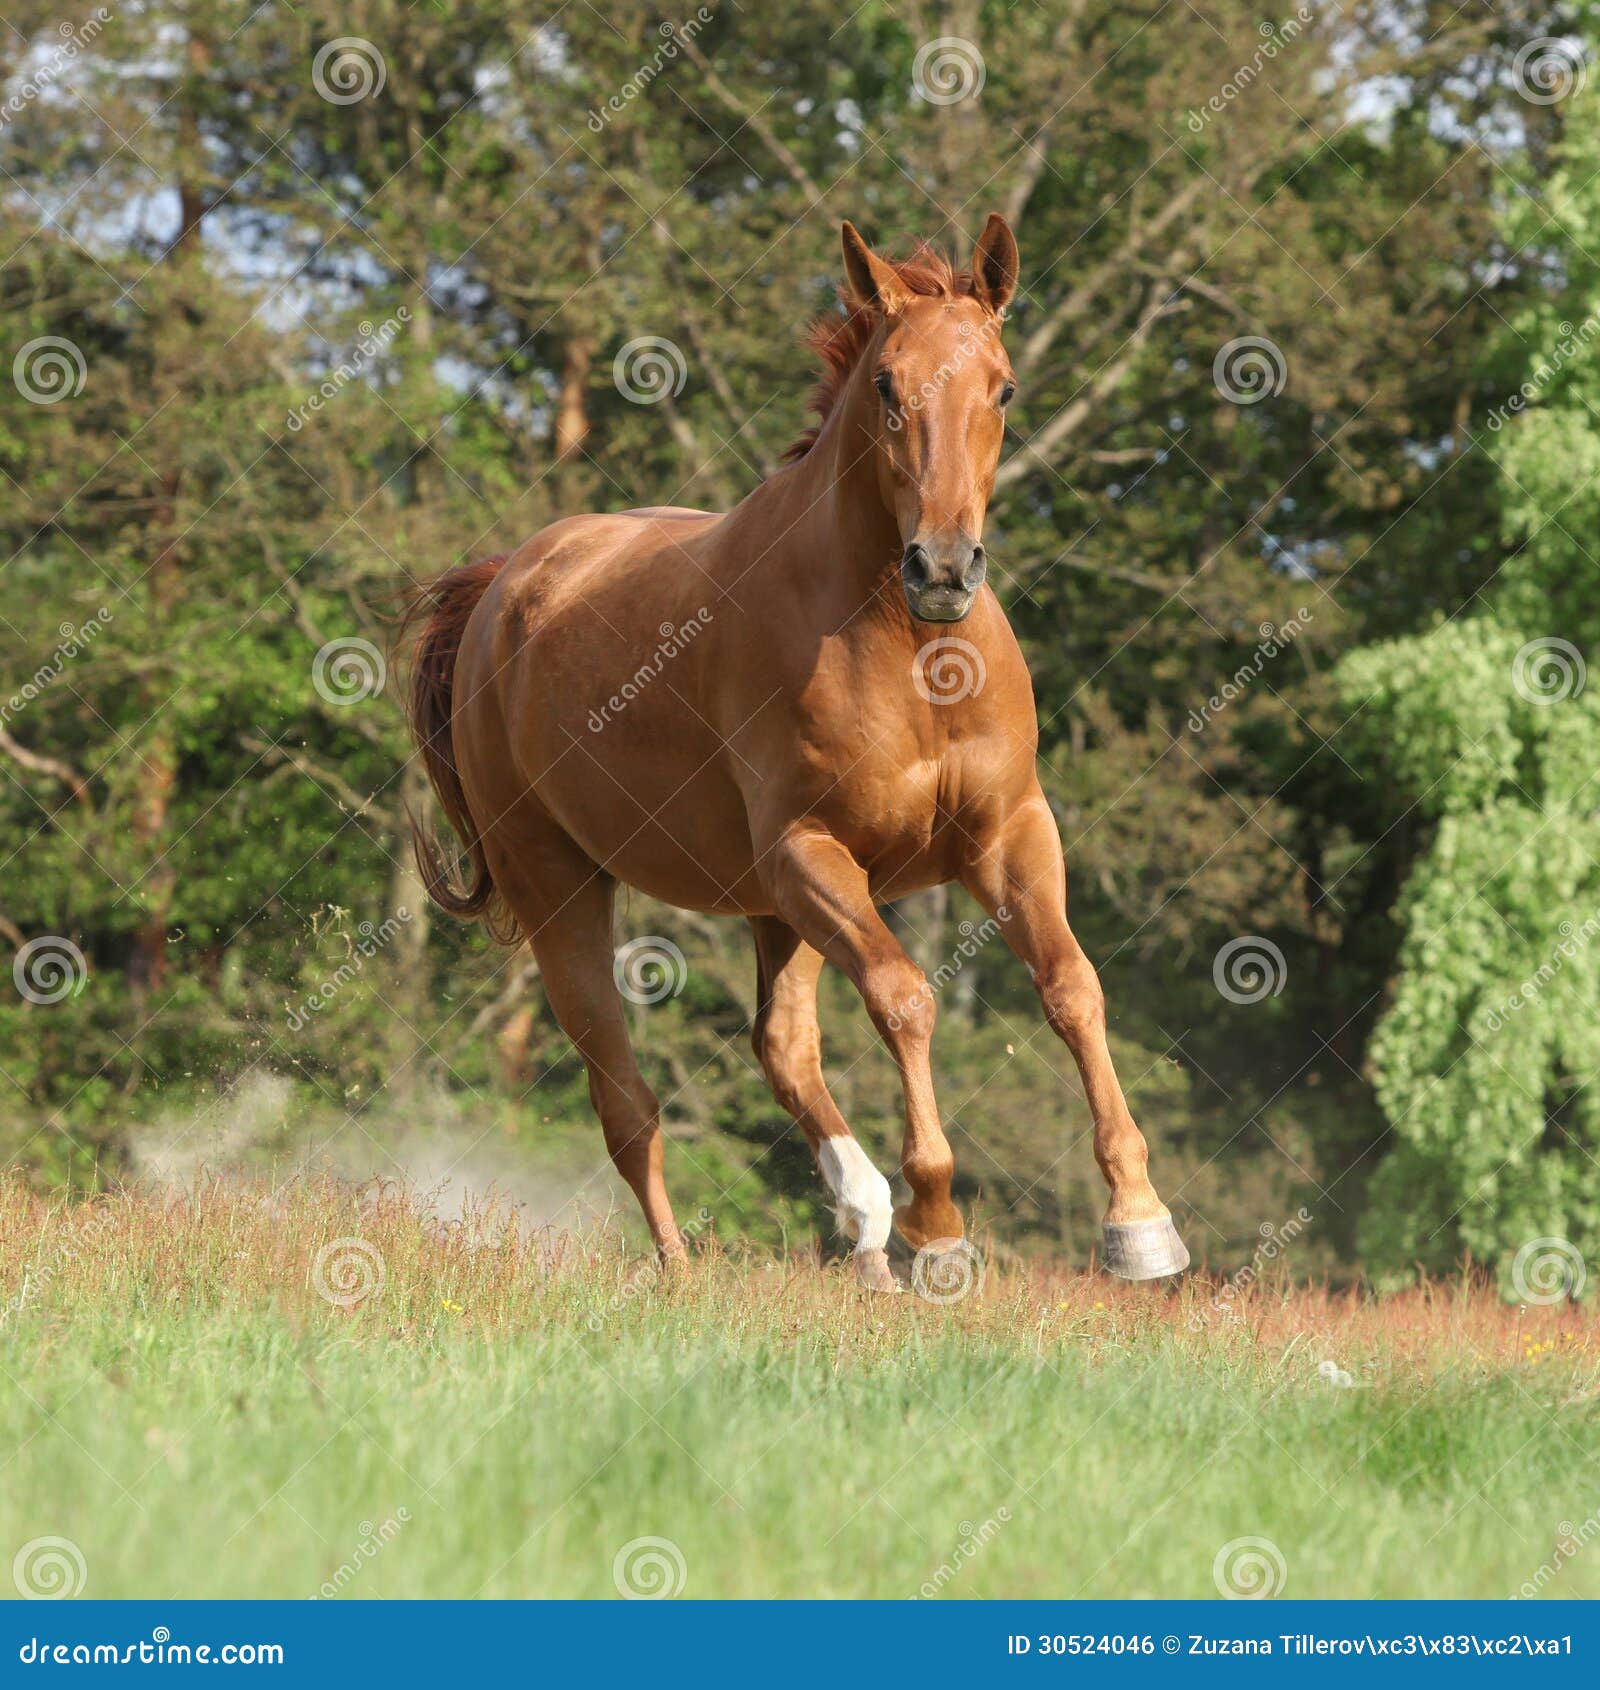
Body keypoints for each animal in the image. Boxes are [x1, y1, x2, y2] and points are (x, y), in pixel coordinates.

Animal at [403, 214, 1189, 1292]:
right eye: (887, 387)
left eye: (1003, 386)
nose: (943, 568)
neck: (911, 655)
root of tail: (502, 590)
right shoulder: (810, 853)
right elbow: (906, 999)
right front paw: (938, 1227)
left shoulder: (1006, 835)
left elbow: (1071, 986)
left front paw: (1139, 1223)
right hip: (566, 887)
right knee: (626, 1101)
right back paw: (694, 1269)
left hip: (774, 909)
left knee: (780, 1045)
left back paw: (862, 1228)